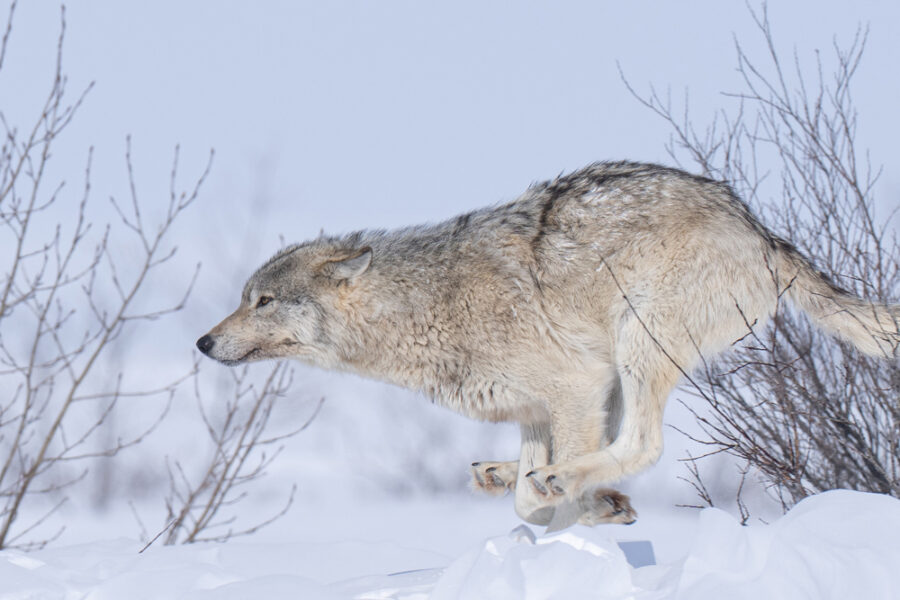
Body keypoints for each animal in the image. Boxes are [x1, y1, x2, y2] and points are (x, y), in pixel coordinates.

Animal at [197, 161, 899, 529]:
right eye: (245, 297)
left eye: (262, 302)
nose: (203, 342)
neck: (424, 305)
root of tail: (759, 228)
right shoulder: (538, 406)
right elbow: (524, 491)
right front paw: (585, 502)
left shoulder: (577, 386)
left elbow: (538, 497)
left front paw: (586, 505)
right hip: (622, 368)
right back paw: (517, 471)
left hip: (636, 346)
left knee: (642, 445)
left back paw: (568, 479)